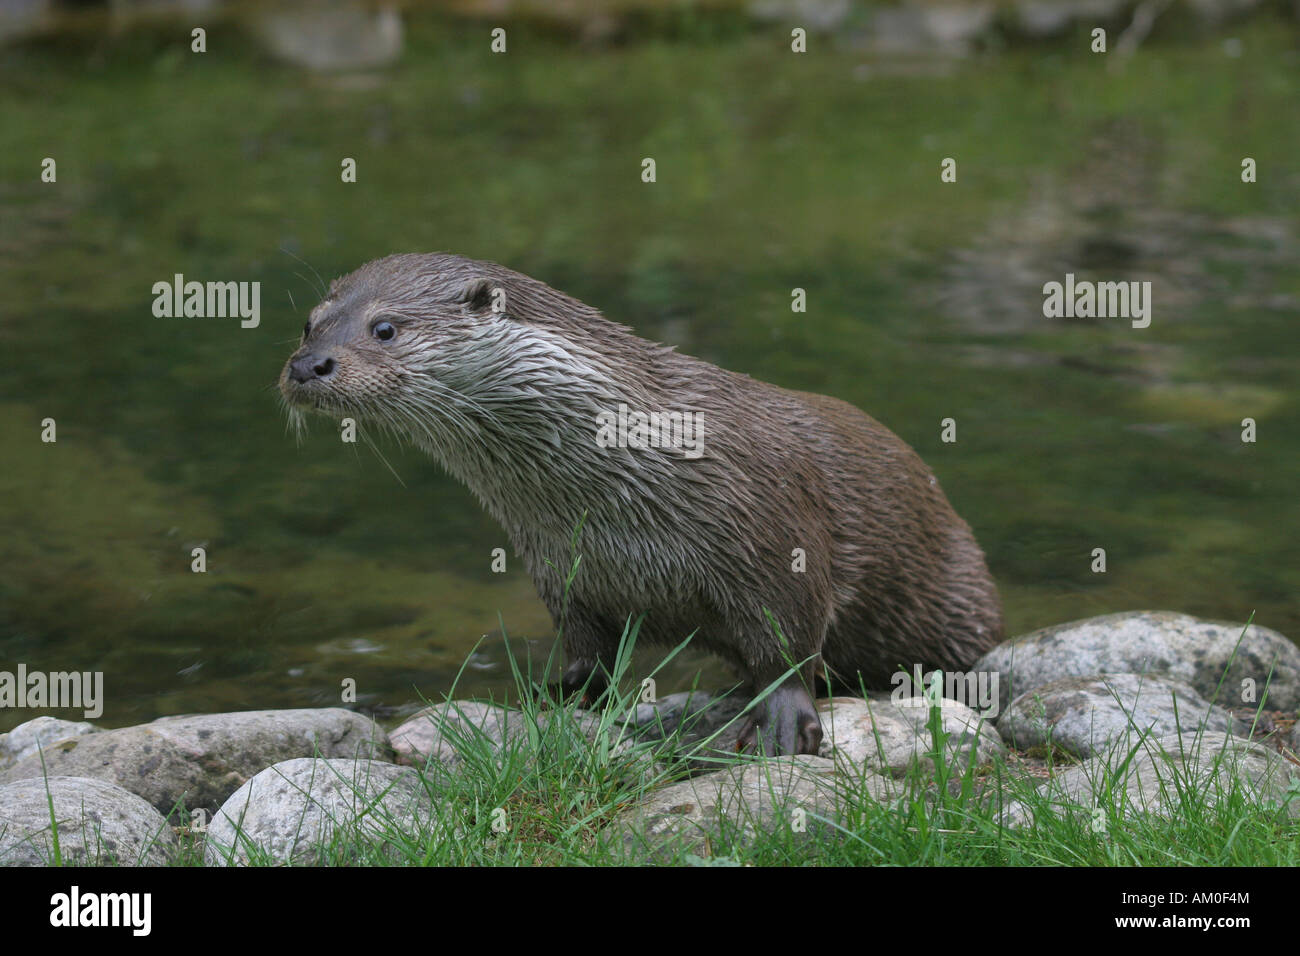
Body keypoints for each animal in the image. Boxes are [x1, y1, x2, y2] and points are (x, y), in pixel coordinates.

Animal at [279, 253, 1003, 756]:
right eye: (309, 323)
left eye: (384, 328)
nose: (308, 365)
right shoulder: (560, 566)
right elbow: (587, 652)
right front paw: (553, 695)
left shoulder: (773, 537)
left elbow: (790, 643)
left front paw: (779, 721)